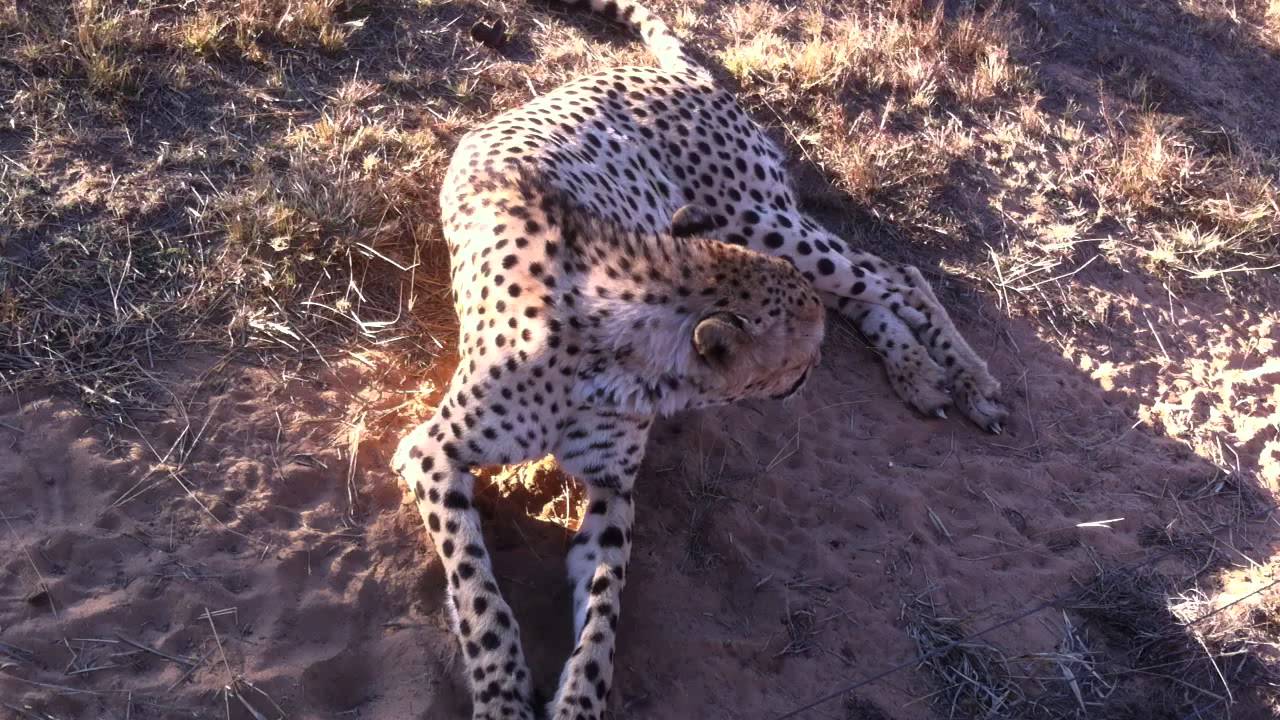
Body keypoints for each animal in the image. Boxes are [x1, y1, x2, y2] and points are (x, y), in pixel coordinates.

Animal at [392, 0, 1008, 717]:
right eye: (801, 361)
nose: (811, 373)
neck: (616, 352)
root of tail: (667, 75)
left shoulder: (614, 489)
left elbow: (602, 619)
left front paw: (578, 699)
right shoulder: (430, 451)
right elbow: (476, 586)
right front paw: (502, 693)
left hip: (758, 220)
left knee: (895, 276)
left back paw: (966, 380)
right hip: (755, 226)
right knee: (874, 286)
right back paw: (923, 373)